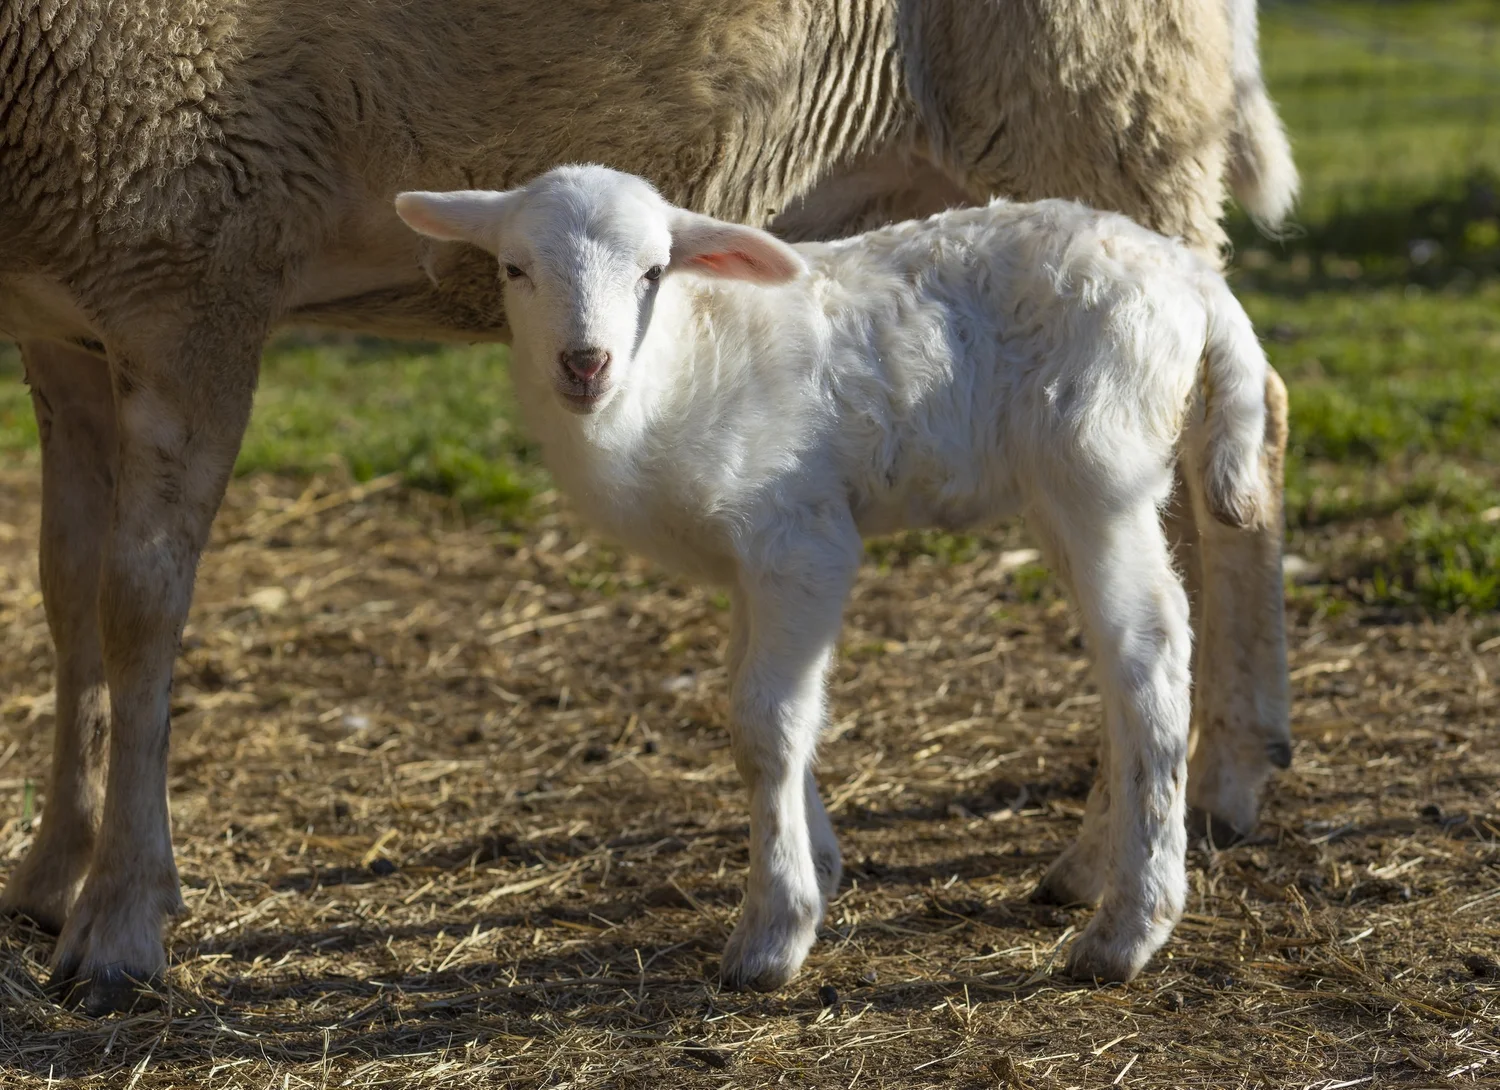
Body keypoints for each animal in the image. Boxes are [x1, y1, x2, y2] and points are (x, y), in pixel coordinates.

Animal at [393, 164, 1273, 988]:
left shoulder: (801, 536)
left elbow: (766, 724)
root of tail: (1194, 276)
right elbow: (759, 703)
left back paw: (1128, 928)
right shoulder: (751, 565)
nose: (585, 363)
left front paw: (774, 929)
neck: (680, 365)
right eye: (514, 268)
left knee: (1150, 652)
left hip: (1101, 461)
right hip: (1065, 489)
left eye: (653, 272)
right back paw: (1087, 872)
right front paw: (815, 861)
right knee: (1119, 661)